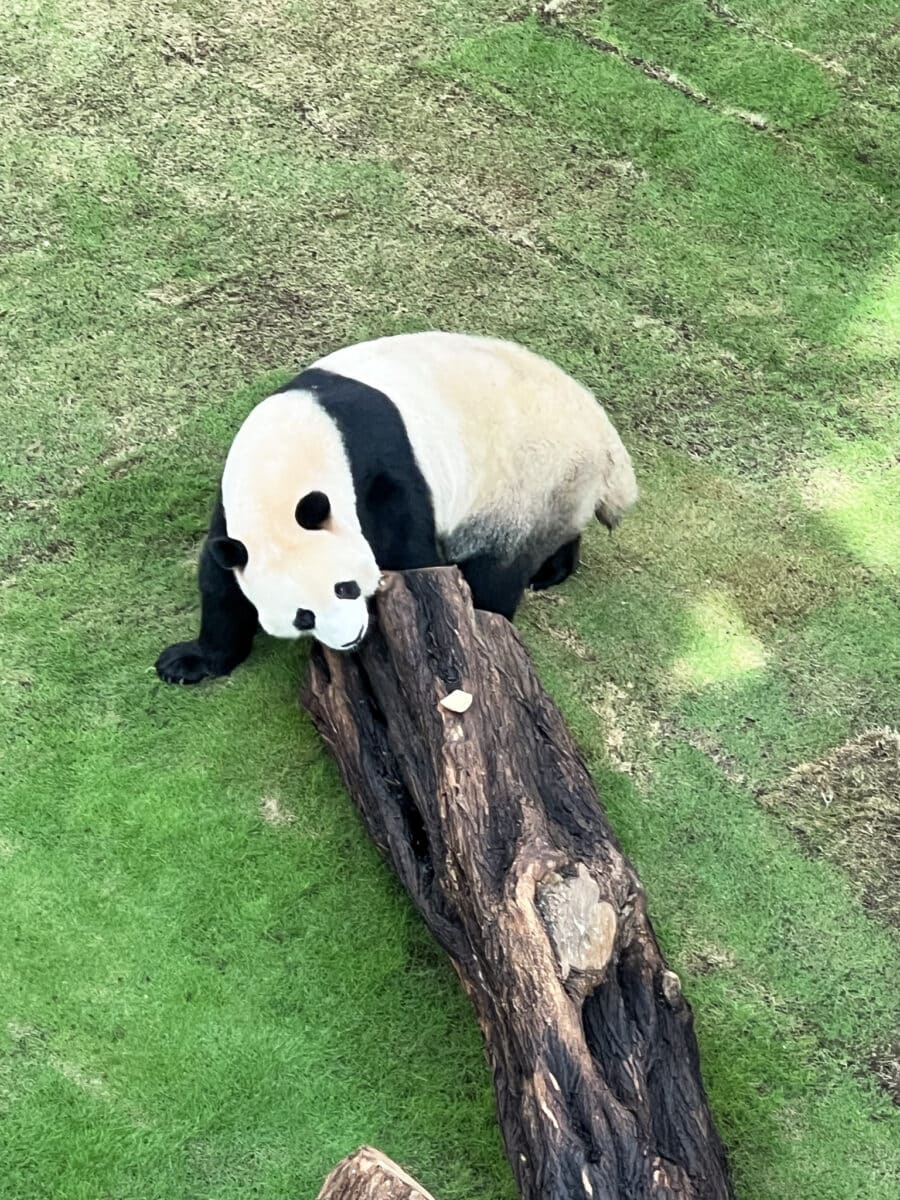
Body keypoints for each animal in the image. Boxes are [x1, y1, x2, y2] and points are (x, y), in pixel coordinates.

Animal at [155, 331, 637, 684]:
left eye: (345, 588)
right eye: (302, 617)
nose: (350, 638)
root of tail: (607, 443)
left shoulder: (380, 470)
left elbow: (411, 557)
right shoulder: (233, 517)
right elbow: (220, 581)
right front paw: (189, 661)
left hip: (529, 476)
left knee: (497, 567)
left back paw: (486, 616)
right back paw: (553, 569)